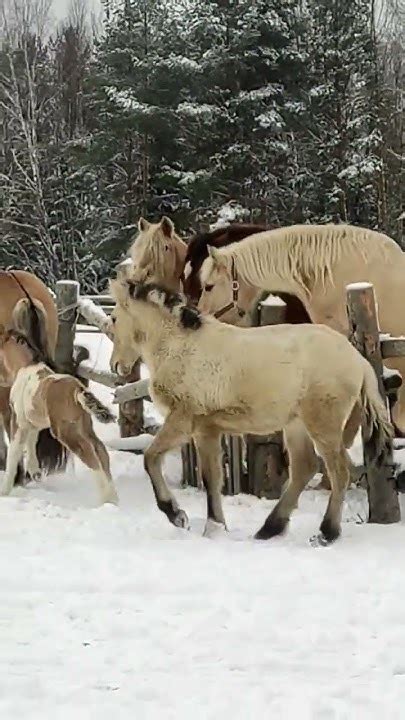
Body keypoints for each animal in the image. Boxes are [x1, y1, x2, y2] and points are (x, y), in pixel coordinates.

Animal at [0, 328, 118, 506]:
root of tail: (77, 390)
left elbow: (14, 452)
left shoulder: (18, 422)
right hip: (84, 427)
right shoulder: (32, 423)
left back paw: (104, 500)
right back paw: (113, 498)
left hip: (66, 432)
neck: (25, 366)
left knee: (92, 458)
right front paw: (35, 473)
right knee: (101, 453)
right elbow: (31, 444)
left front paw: (5, 490)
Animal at [108, 278, 392, 544]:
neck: (181, 346)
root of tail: (359, 361)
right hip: (296, 424)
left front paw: (177, 515)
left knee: (340, 472)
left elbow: (151, 457)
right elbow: (212, 478)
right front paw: (215, 527)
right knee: (305, 468)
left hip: (323, 423)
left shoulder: (183, 419)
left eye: (113, 318)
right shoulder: (206, 429)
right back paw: (269, 529)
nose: (116, 365)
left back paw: (326, 533)